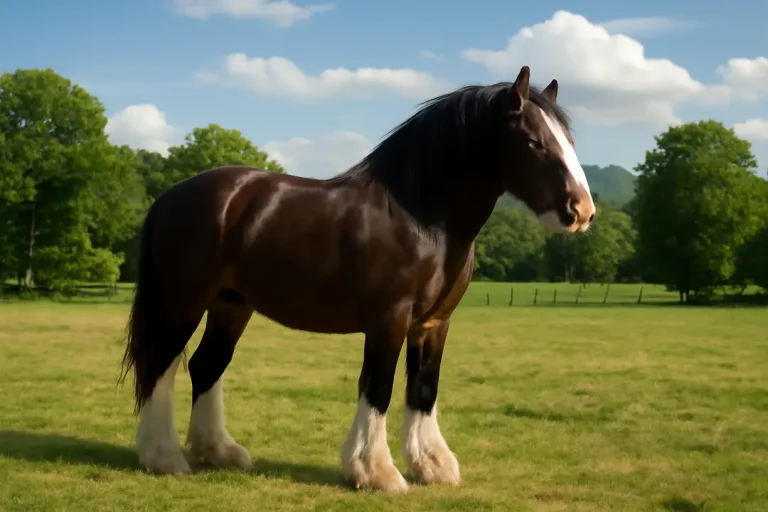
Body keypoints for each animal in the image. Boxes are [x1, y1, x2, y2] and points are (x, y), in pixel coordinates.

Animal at [119, 65, 595, 493]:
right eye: (533, 142)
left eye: (569, 141)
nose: (582, 211)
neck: (422, 216)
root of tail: (171, 197)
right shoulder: (388, 320)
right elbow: (378, 388)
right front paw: (375, 472)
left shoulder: (434, 324)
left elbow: (423, 389)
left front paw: (432, 466)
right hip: (183, 302)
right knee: (161, 366)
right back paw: (165, 458)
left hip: (231, 304)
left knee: (206, 366)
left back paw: (219, 452)